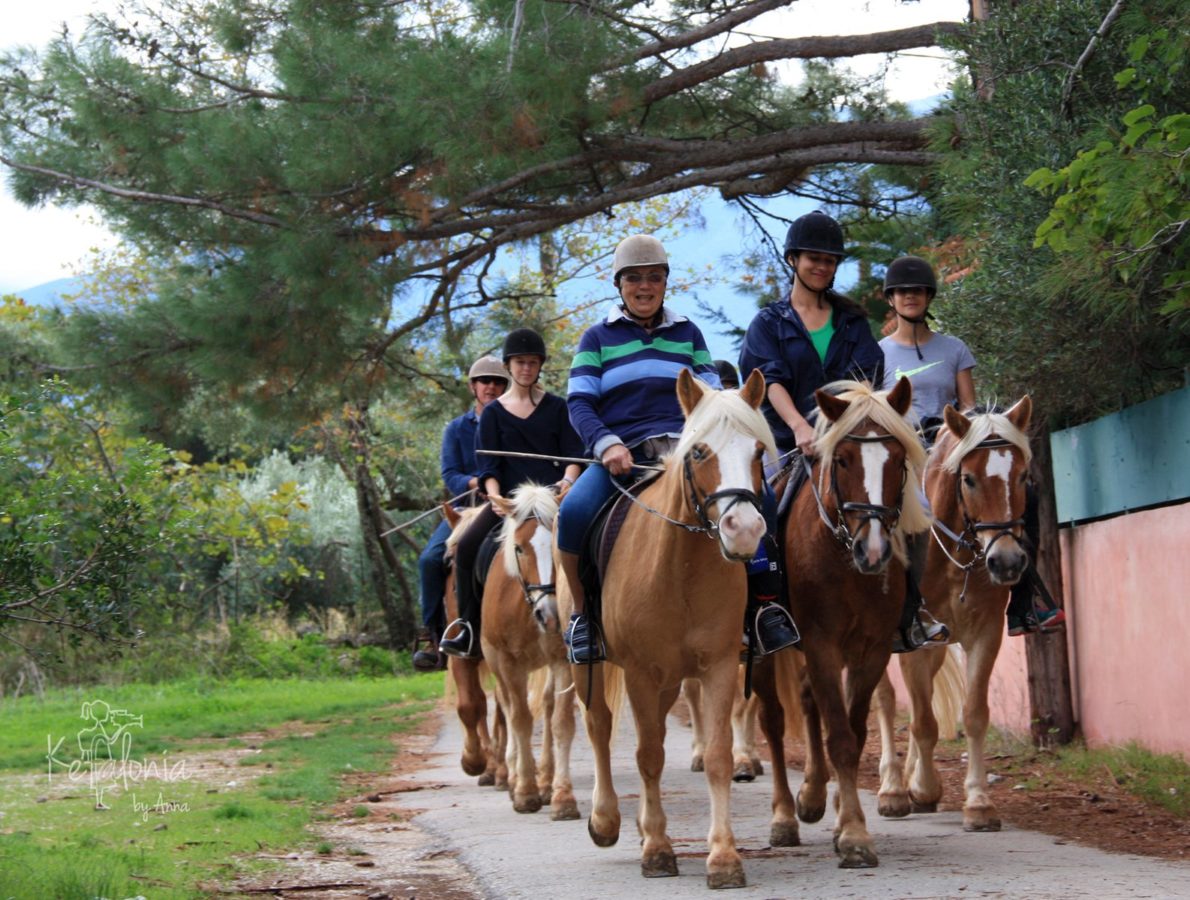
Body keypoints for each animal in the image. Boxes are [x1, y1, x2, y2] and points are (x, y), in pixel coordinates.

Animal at [481, 484, 579, 819]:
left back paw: (546, 781)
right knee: (508, 707)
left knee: (546, 706)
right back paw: (511, 776)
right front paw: (524, 791)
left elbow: (561, 722)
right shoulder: (508, 662)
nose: (549, 614)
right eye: (520, 548)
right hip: (495, 662)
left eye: (557, 545)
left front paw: (563, 796)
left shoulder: (562, 660)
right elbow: (520, 719)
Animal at [566, 367, 774, 889]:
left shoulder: (718, 665)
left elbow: (717, 755)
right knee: (599, 725)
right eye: (699, 452)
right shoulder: (640, 672)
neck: (682, 568)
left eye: (758, 451)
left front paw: (723, 857)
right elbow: (647, 756)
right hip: (588, 663)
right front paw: (658, 851)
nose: (744, 530)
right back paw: (606, 820)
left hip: (669, 680)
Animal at [760, 377, 930, 868]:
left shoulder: (870, 649)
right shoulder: (821, 645)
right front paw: (854, 834)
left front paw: (844, 823)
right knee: (773, 720)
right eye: (842, 459)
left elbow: (852, 732)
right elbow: (838, 736)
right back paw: (785, 816)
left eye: (897, 458)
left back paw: (815, 798)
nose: (872, 551)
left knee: (808, 701)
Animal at [874, 397, 1033, 832]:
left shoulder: (985, 633)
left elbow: (974, 713)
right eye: (970, 480)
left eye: (1022, 476)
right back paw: (893, 788)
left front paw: (978, 803)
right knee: (887, 701)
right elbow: (922, 721)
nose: (1007, 562)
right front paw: (922, 787)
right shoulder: (912, 641)